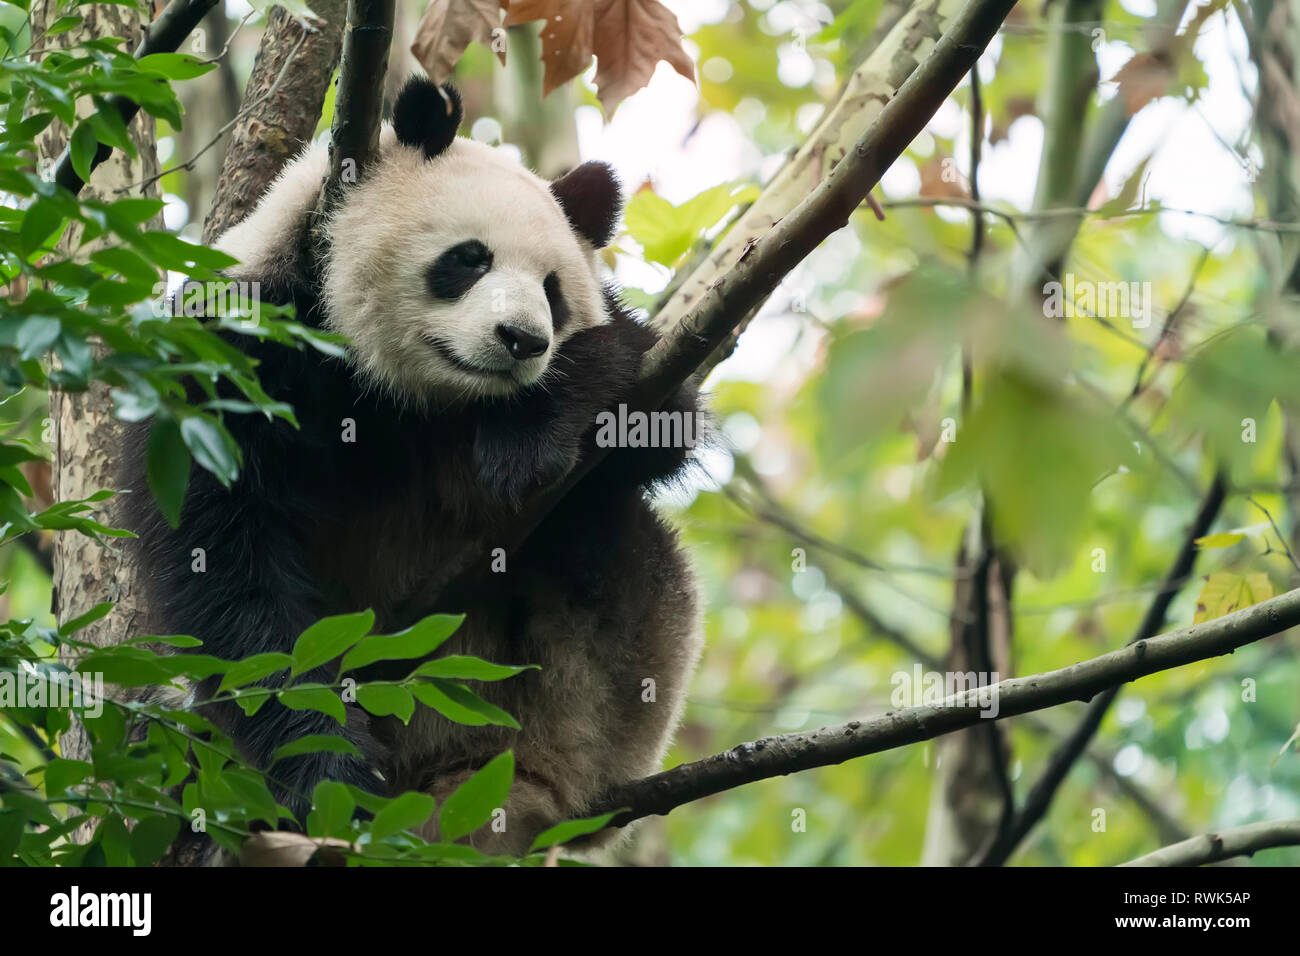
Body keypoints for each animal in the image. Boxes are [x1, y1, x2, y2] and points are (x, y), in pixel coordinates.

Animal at [124, 76, 704, 856]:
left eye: (553, 289)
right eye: (469, 259)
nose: (523, 340)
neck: (396, 389)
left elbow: (658, 418)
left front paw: (532, 429)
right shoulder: (233, 355)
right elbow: (229, 570)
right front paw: (330, 776)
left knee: (615, 545)